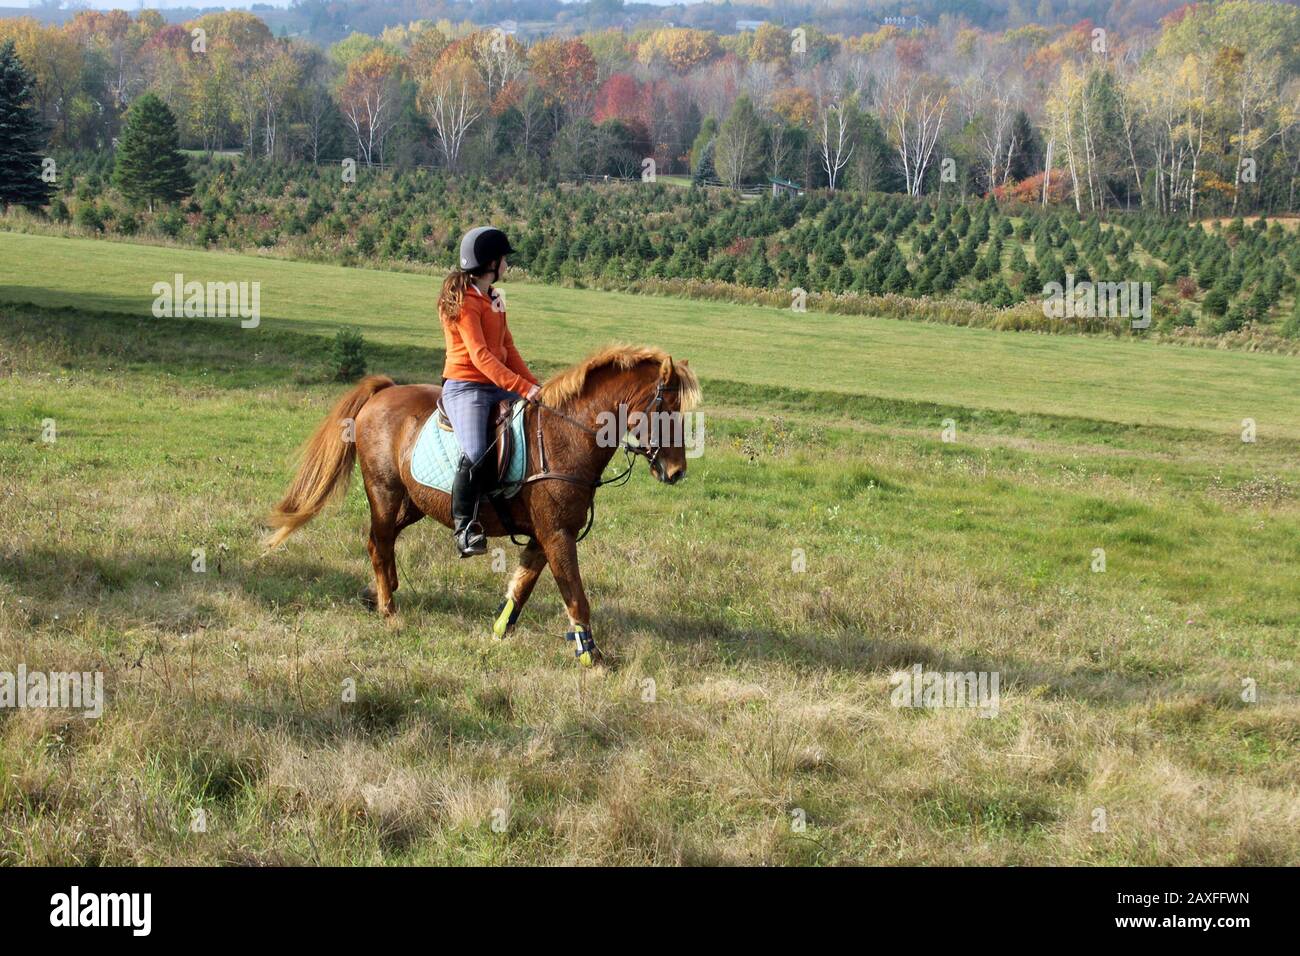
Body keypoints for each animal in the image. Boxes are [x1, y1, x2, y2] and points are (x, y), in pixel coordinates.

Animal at [264, 345, 701, 667]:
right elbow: (575, 594)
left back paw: (378, 594)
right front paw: (591, 656)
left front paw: (500, 631)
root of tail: (385, 391)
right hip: (385, 493)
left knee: (379, 544)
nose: (677, 471)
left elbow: (521, 586)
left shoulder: (544, 536)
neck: (565, 435)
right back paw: (388, 609)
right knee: (380, 544)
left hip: (412, 502)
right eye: (667, 410)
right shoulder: (557, 534)